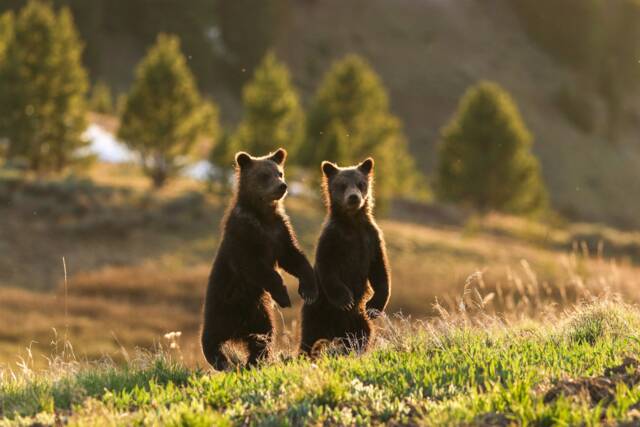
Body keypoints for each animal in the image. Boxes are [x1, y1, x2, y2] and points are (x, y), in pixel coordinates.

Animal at [201, 148, 318, 370]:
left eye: (280, 172)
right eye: (264, 175)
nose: (282, 186)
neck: (263, 217)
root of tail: (237, 331)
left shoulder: (280, 232)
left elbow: (294, 257)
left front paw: (308, 290)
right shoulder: (244, 235)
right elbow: (255, 267)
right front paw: (283, 295)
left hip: (259, 314)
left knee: (263, 336)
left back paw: (253, 361)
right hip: (221, 307)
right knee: (211, 339)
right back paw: (223, 361)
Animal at [300, 157, 391, 356]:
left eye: (360, 183)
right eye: (342, 185)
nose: (353, 197)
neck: (352, 223)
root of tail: (335, 334)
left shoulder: (371, 239)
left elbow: (380, 270)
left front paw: (374, 306)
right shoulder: (332, 239)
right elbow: (328, 268)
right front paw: (345, 300)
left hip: (357, 321)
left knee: (364, 334)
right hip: (316, 313)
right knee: (309, 338)